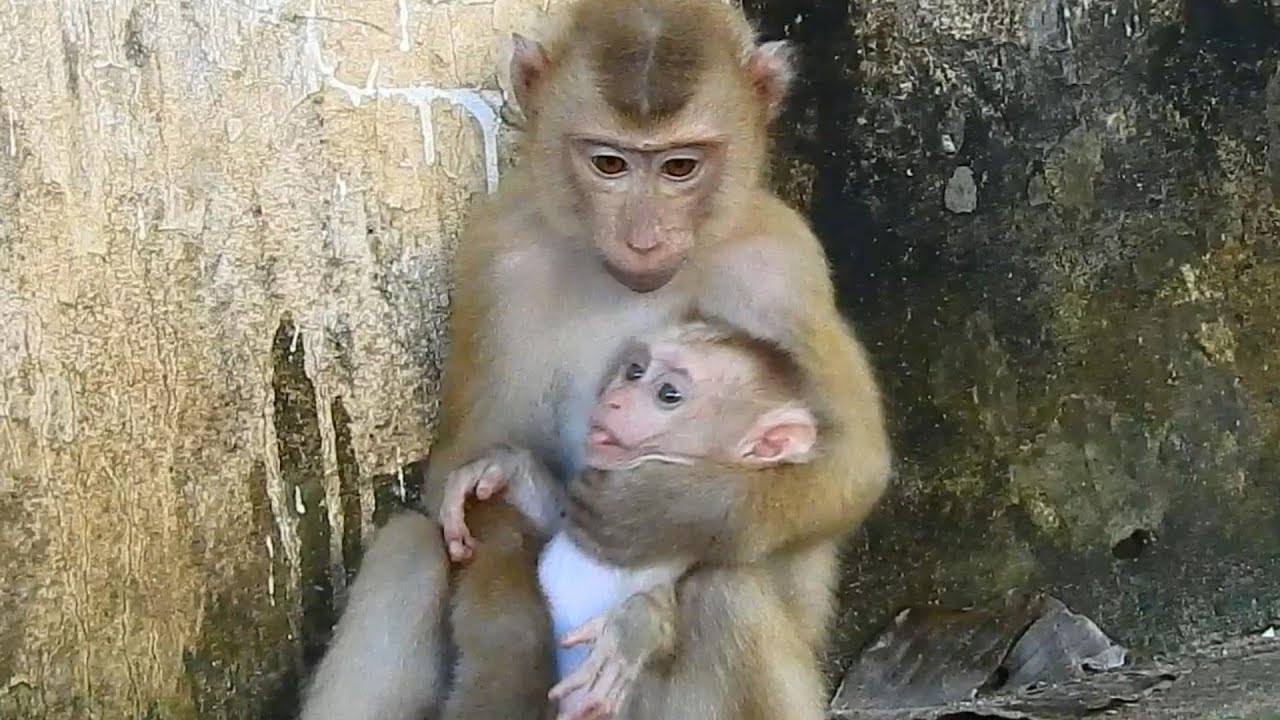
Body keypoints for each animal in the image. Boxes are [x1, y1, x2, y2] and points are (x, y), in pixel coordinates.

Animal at [439, 319, 825, 719]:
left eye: (669, 393)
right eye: (634, 371)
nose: (614, 398)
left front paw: (635, 628)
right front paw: (504, 470)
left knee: (726, 592)